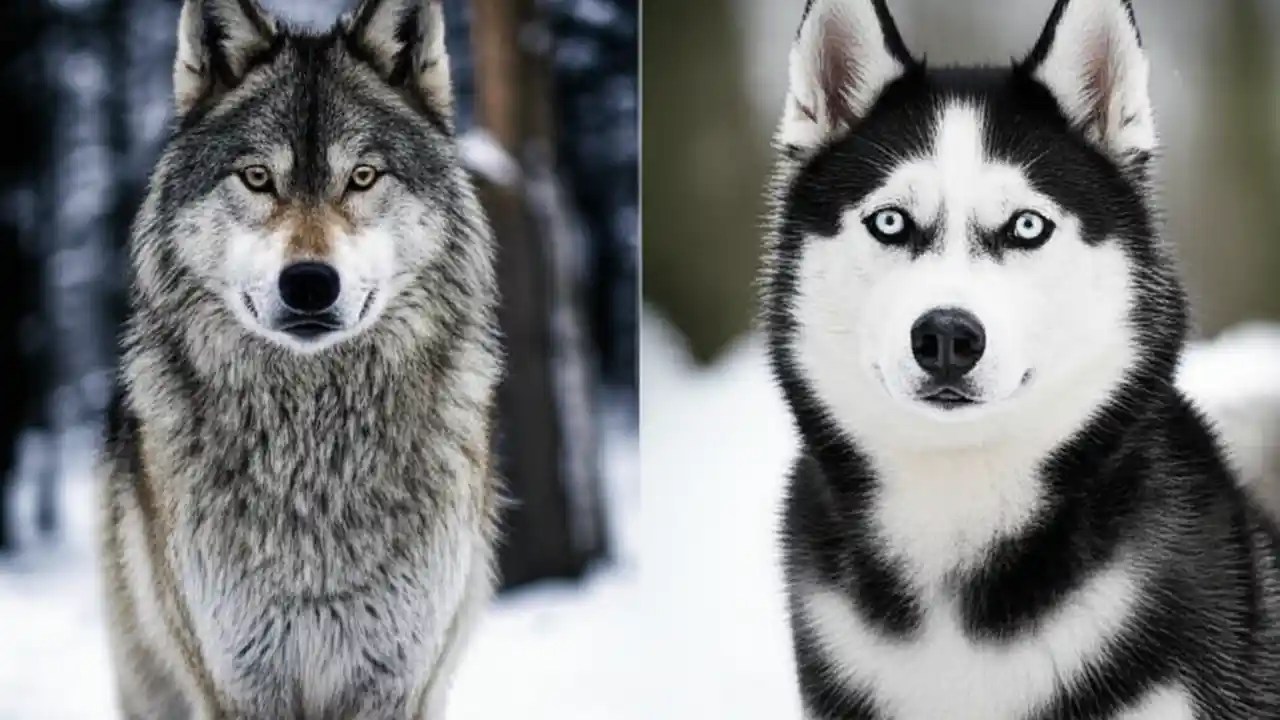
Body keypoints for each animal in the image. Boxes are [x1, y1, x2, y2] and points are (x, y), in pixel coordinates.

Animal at [98, 0, 502, 717]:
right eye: (258, 178)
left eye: (362, 177)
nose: (310, 283)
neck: (316, 456)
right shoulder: (239, 682)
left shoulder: (395, 680)